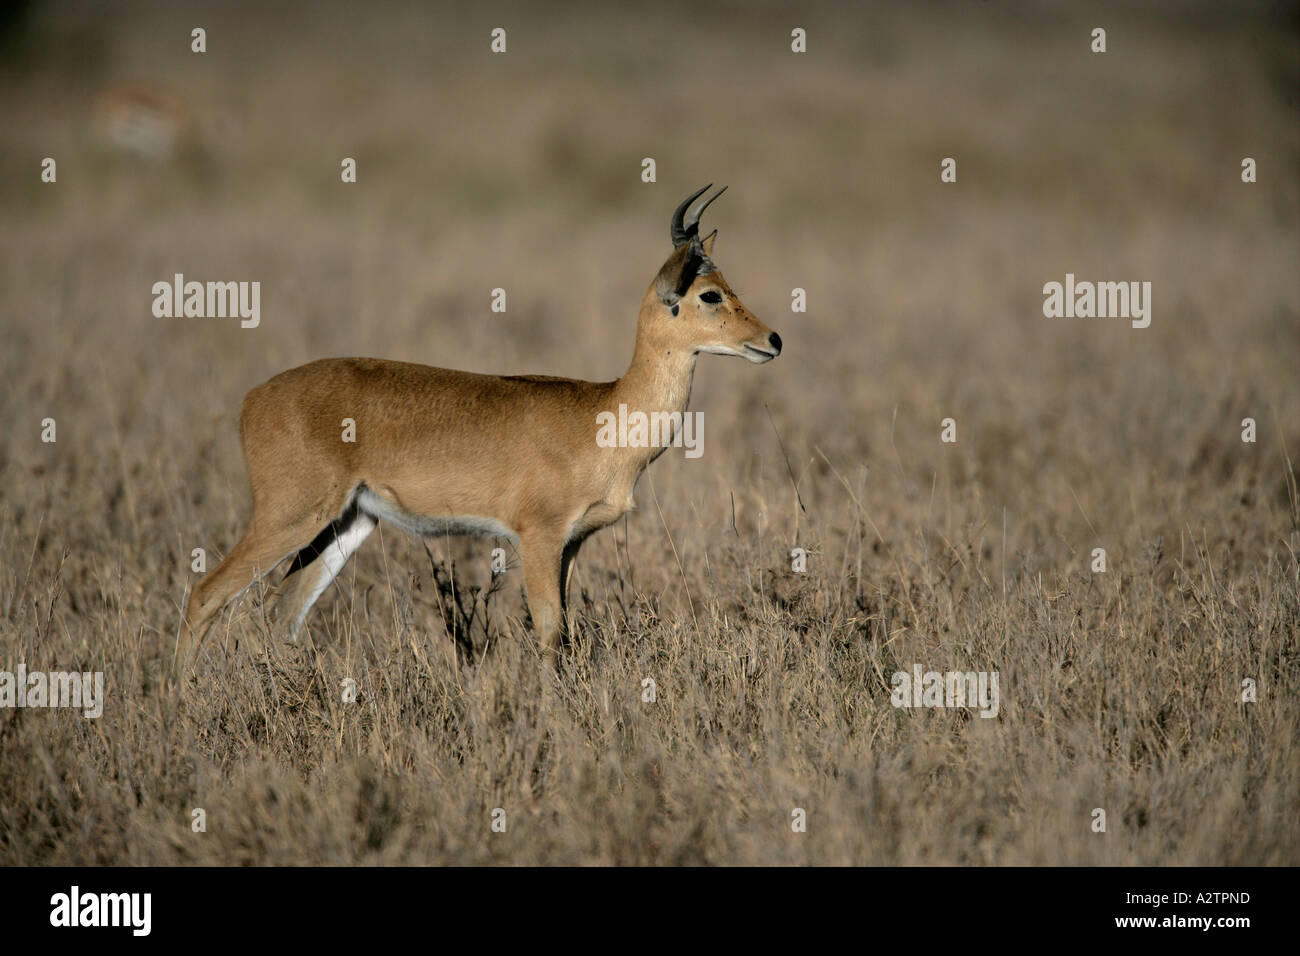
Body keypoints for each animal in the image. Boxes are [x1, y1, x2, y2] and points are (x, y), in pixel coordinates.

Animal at [176, 185, 782, 671]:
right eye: (709, 293)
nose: (772, 339)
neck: (605, 410)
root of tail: (253, 398)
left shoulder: (571, 544)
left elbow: (563, 630)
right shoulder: (537, 537)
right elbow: (549, 632)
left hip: (348, 520)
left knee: (283, 609)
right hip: (291, 513)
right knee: (206, 592)